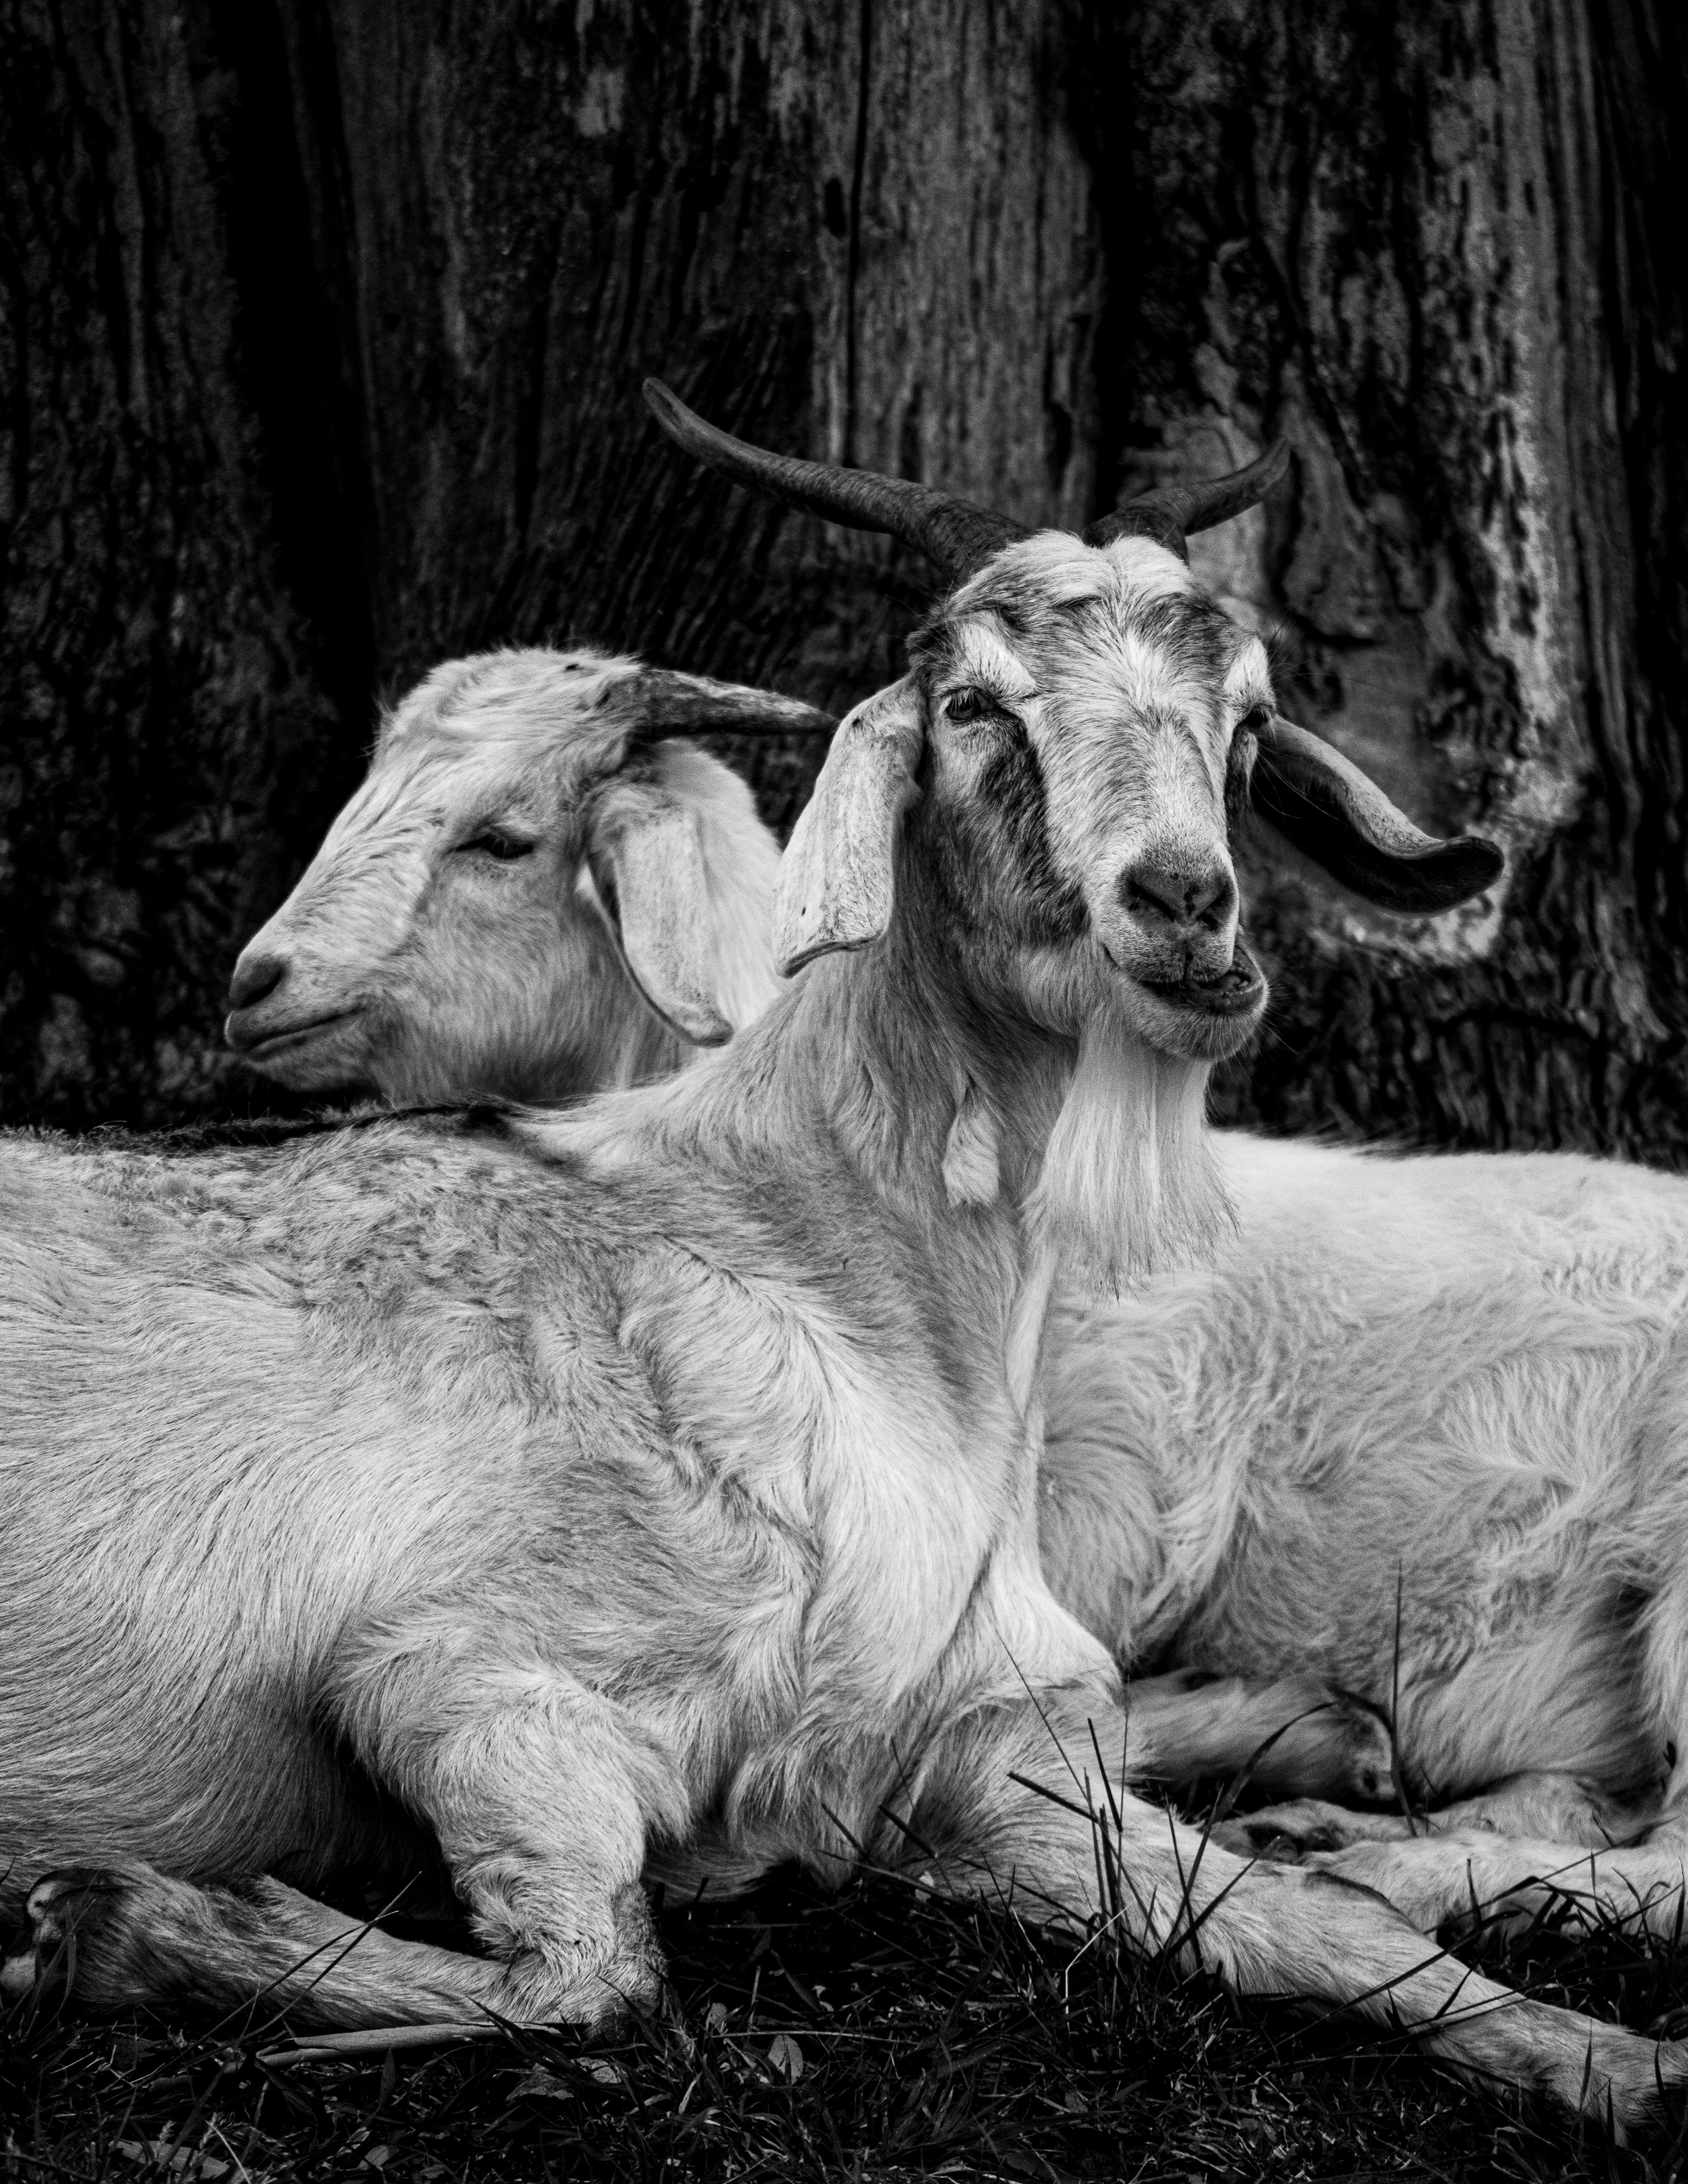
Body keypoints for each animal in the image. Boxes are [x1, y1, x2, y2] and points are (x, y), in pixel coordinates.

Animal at [1, 385, 1673, 2129]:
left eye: (1248, 718)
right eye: (974, 703)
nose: (1184, 906)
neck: (821, 1254)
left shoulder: (997, 1747)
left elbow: (1304, 1913)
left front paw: (1619, 2060)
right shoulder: (459, 1676)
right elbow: (595, 1980)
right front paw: (104, 1916)